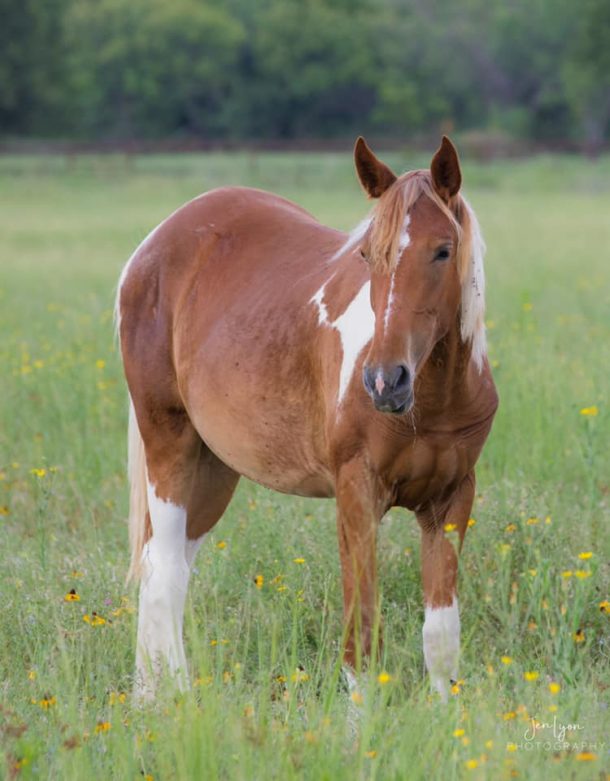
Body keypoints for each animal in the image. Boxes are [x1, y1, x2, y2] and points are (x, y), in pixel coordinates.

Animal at [116, 136, 498, 702]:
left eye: (443, 250)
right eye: (368, 254)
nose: (384, 381)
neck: (430, 405)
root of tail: (153, 246)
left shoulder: (450, 499)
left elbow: (441, 637)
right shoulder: (357, 492)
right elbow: (361, 631)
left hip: (214, 470)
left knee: (165, 569)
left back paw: (147, 698)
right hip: (170, 444)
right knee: (163, 575)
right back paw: (179, 699)